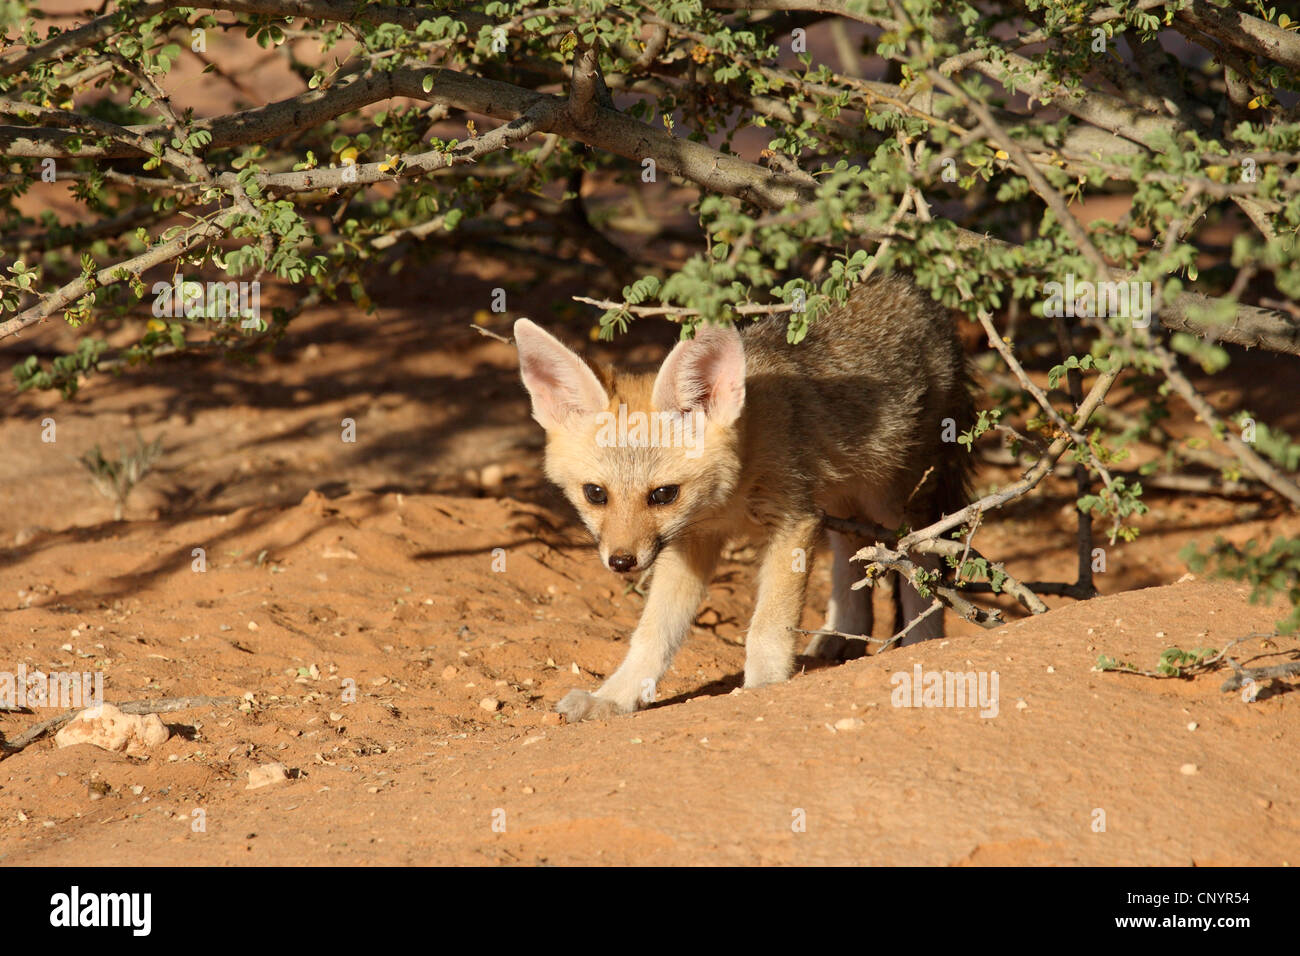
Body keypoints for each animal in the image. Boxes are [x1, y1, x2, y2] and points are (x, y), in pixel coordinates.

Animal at [514, 274, 974, 722]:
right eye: (595, 494)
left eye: (662, 495)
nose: (622, 562)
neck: (727, 499)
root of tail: (911, 287)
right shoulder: (691, 543)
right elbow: (653, 634)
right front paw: (614, 697)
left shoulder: (793, 522)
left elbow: (767, 626)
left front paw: (763, 686)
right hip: (843, 499)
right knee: (853, 550)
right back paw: (841, 634)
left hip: (893, 502)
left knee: (921, 562)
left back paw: (919, 642)